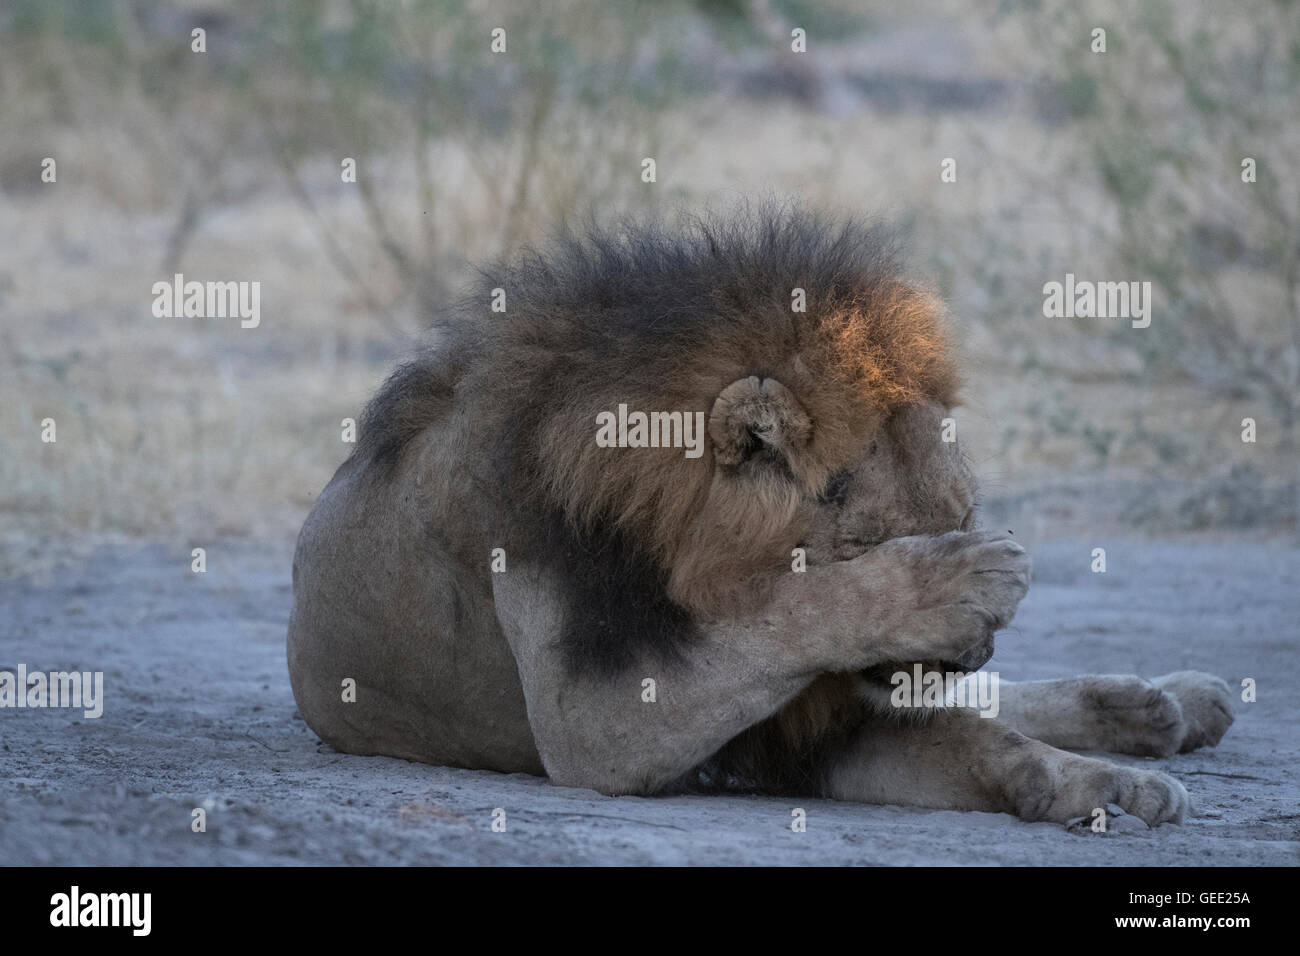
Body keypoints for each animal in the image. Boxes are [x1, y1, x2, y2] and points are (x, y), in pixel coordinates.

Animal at [287, 206, 1234, 826]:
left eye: (965, 511)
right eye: (869, 542)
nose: (966, 652)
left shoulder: (813, 718)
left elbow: (967, 730)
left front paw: (1110, 781)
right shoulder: (597, 726)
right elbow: (798, 616)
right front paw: (964, 586)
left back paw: (1162, 702)